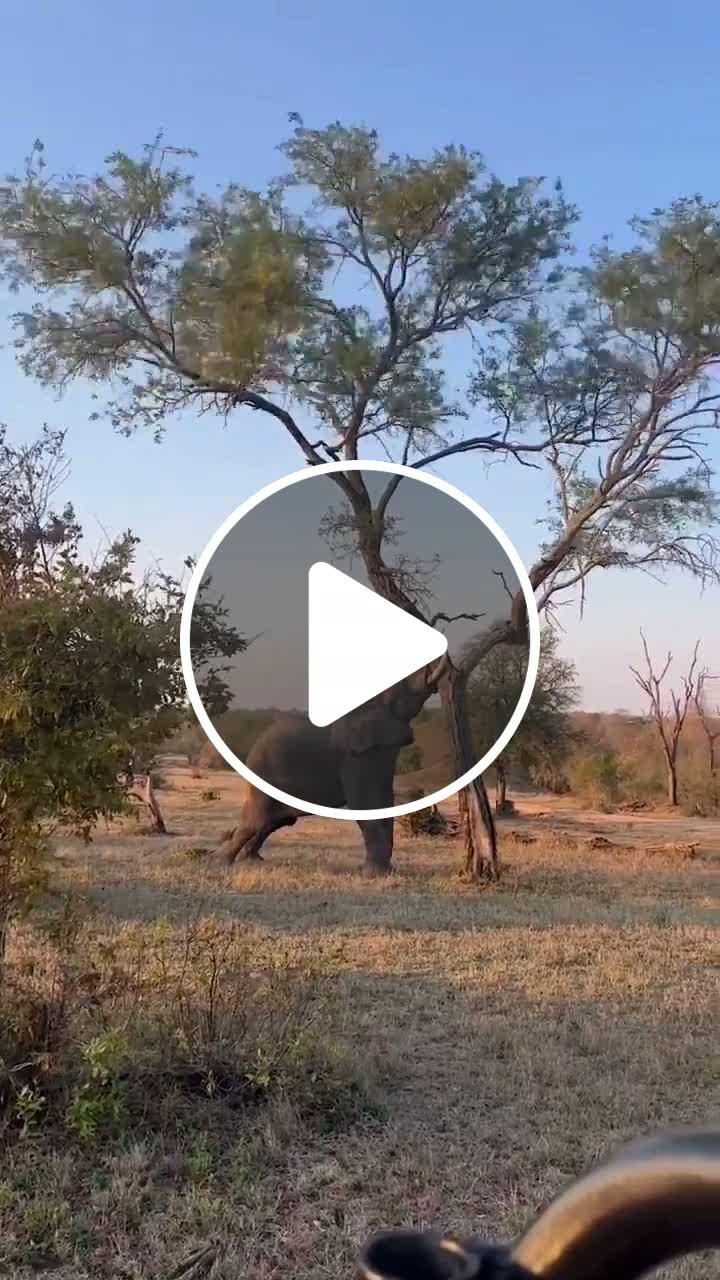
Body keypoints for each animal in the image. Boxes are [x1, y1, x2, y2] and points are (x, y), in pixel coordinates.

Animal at [220, 678, 428, 874]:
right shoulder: (354, 753)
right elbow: (365, 803)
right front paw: (376, 874)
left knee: (272, 822)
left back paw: (251, 861)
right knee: (257, 820)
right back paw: (222, 862)